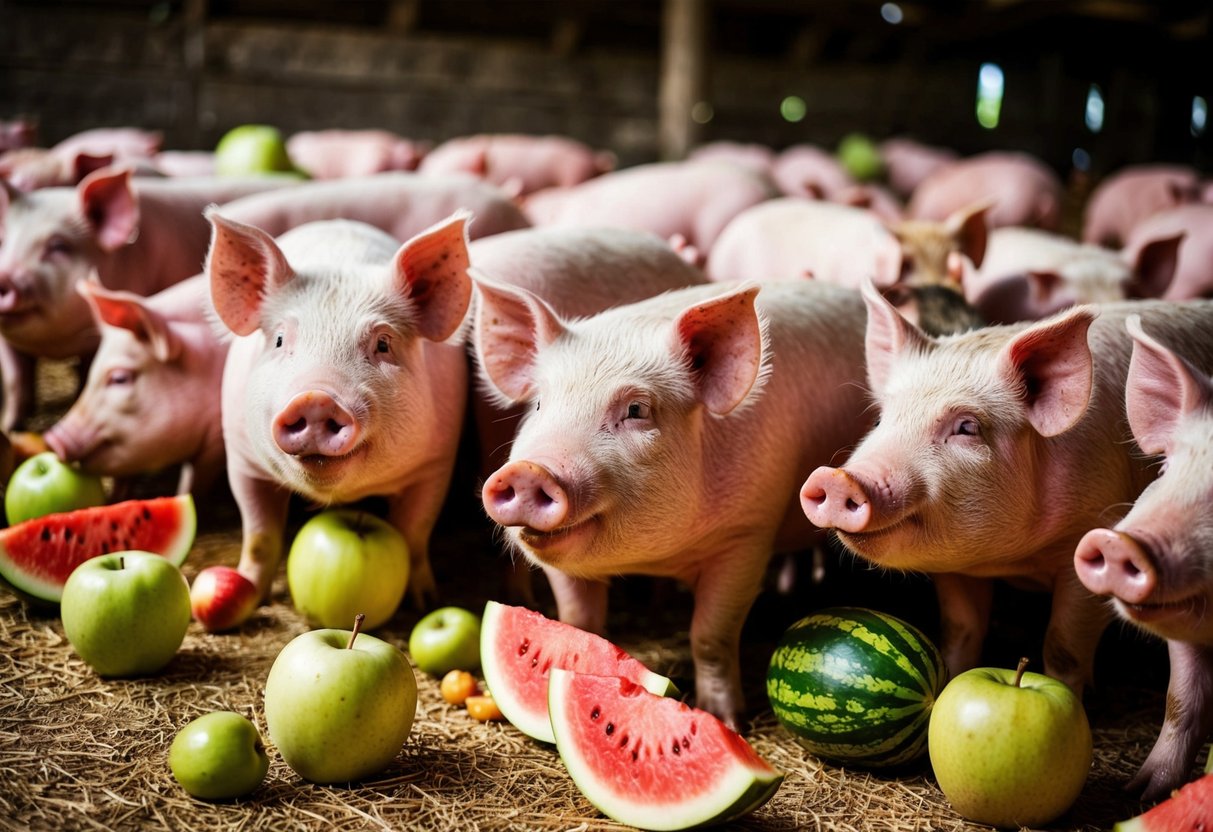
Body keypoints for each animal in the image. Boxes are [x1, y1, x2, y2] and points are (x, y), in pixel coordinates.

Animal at [0, 167, 291, 429]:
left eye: (58, 246)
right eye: (2, 242)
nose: (5, 277)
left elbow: (84, 373)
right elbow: (15, 379)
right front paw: (11, 426)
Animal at [207, 210, 474, 610]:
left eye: (383, 343)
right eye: (280, 340)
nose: (317, 398)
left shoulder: (436, 462)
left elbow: (414, 533)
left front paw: (425, 603)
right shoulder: (241, 458)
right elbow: (259, 536)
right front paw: (250, 593)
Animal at [475, 278, 872, 727]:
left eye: (636, 409)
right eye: (540, 404)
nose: (529, 470)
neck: (659, 558)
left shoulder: (747, 535)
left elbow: (710, 636)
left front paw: (725, 719)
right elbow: (579, 620)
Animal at [801, 284, 1213, 697]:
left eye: (966, 427)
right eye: (881, 420)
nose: (837, 478)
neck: (1015, 559)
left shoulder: (1088, 542)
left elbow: (1063, 647)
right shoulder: (954, 570)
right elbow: (961, 631)